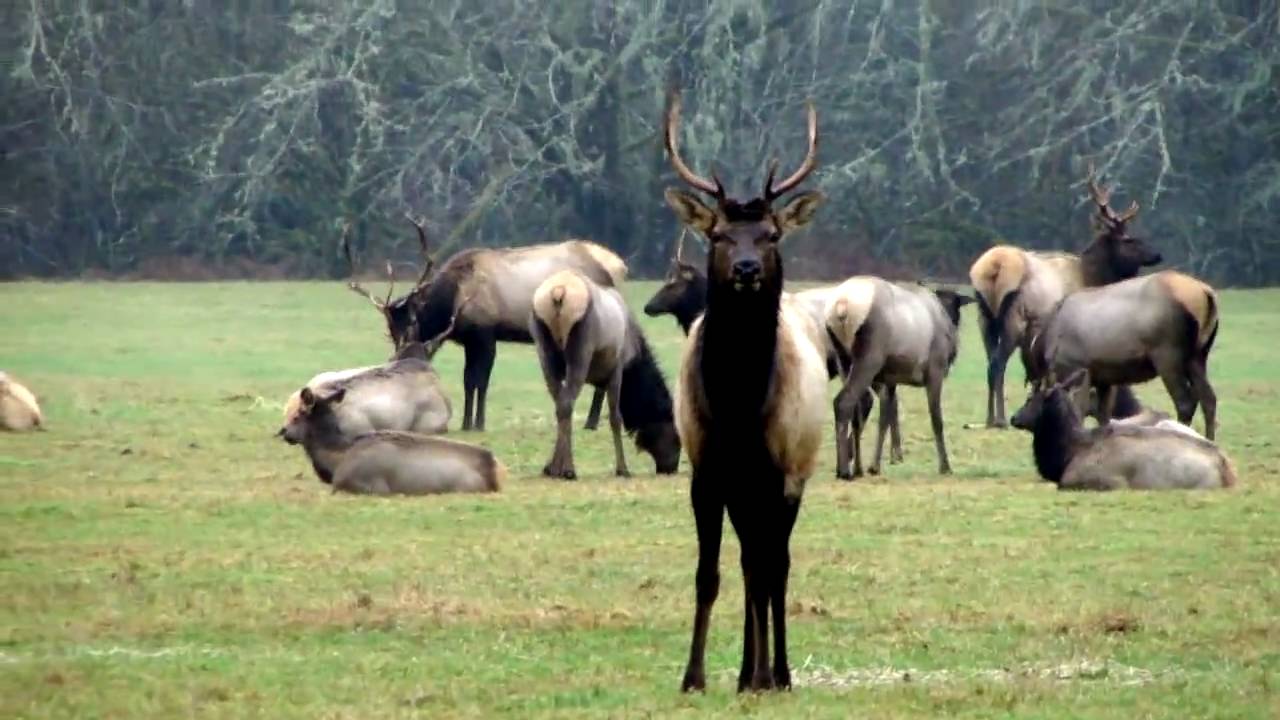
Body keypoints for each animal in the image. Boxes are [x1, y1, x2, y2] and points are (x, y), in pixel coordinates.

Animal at [342, 218, 626, 432]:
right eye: (391, 331)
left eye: (414, 322)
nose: (398, 360)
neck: (455, 297)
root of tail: (618, 266)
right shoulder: (470, 340)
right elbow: (468, 380)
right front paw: (467, 423)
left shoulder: (486, 333)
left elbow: (481, 380)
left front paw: (478, 423)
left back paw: (590, 422)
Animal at [530, 269, 681, 479]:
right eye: (676, 435)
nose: (671, 468)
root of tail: (558, 292)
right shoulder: (616, 369)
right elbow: (615, 418)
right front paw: (622, 469)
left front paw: (550, 465)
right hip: (581, 347)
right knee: (567, 404)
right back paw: (569, 469)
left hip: (545, 349)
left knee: (560, 404)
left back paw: (554, 468)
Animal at [663, 89, 829, 693]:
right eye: (718, 235)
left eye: (771, 234)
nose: (747, 268)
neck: (737, 406)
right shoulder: (707, 470)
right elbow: (708, 573)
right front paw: (694, 676)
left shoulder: (775, 471)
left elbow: (767, 569)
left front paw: (764, 673)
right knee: (750, 561)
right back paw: (744, 672)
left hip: (797, 473)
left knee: (775, 565)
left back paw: (774, 672)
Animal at [825, 278, 974, 478]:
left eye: (956, 305)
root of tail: (841, 307)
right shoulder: (934, 372)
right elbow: (937, 420)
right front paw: (945, 466)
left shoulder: (889, 380)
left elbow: (885, 419)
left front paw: (875, 465)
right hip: (868, 359)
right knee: (844, 402)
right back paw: (844, 470)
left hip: (843, 361)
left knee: (858, 406)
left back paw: (856, 468)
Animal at [968, 165, 1163, 427]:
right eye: (1129, 239)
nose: (1158, 254)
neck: (1090, 276)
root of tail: (993, 268)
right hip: (1014, 318)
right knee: (998, 364)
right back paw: (1000, 419)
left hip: (984, 318)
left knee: (990, 363)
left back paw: (990, 418)